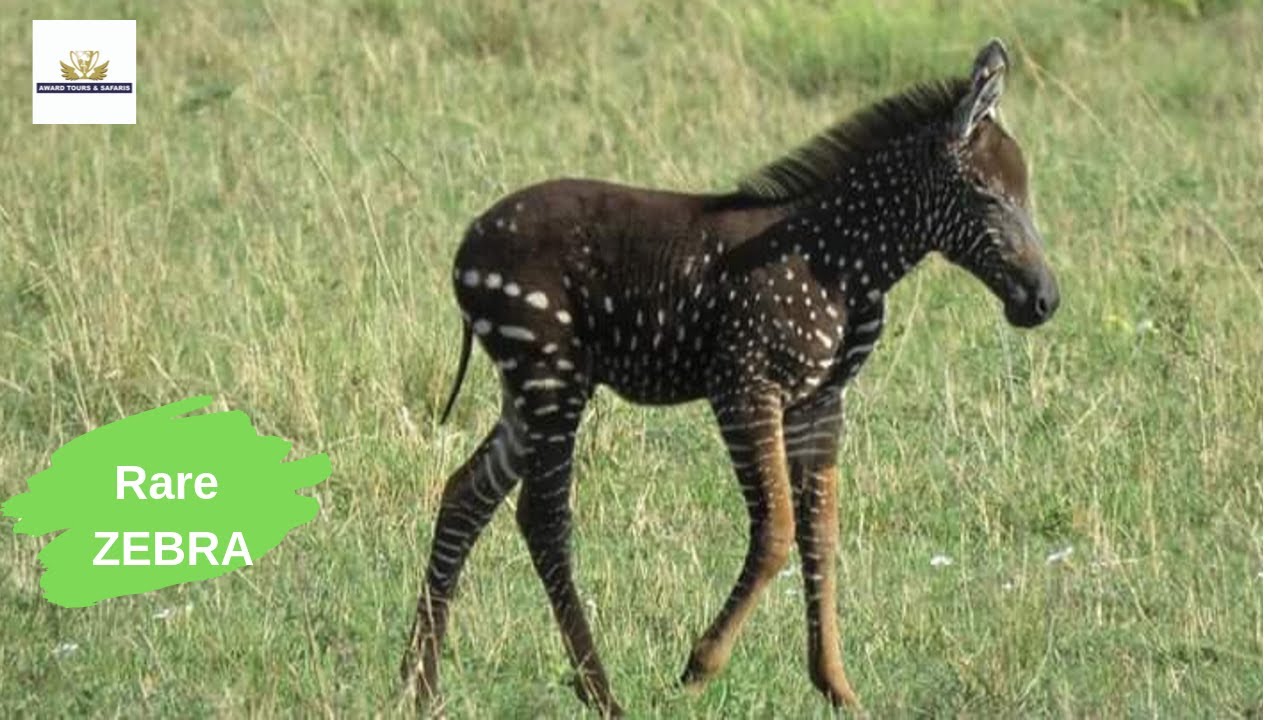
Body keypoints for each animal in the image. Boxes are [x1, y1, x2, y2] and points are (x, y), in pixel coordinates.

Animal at [403, 39, 1059, 716]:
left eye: (1025, 193)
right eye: (986, 195)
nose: (1043, 301)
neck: (845, 263)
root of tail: (466, 246)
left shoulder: (821, 401)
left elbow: (820, 534)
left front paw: (836, 685)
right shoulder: (744, 387)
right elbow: (776, 531)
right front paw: (701, 664)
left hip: (532, 389)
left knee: (464, 494)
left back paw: (420, 682)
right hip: (549, 373)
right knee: (542, 518)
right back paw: (599, 691)